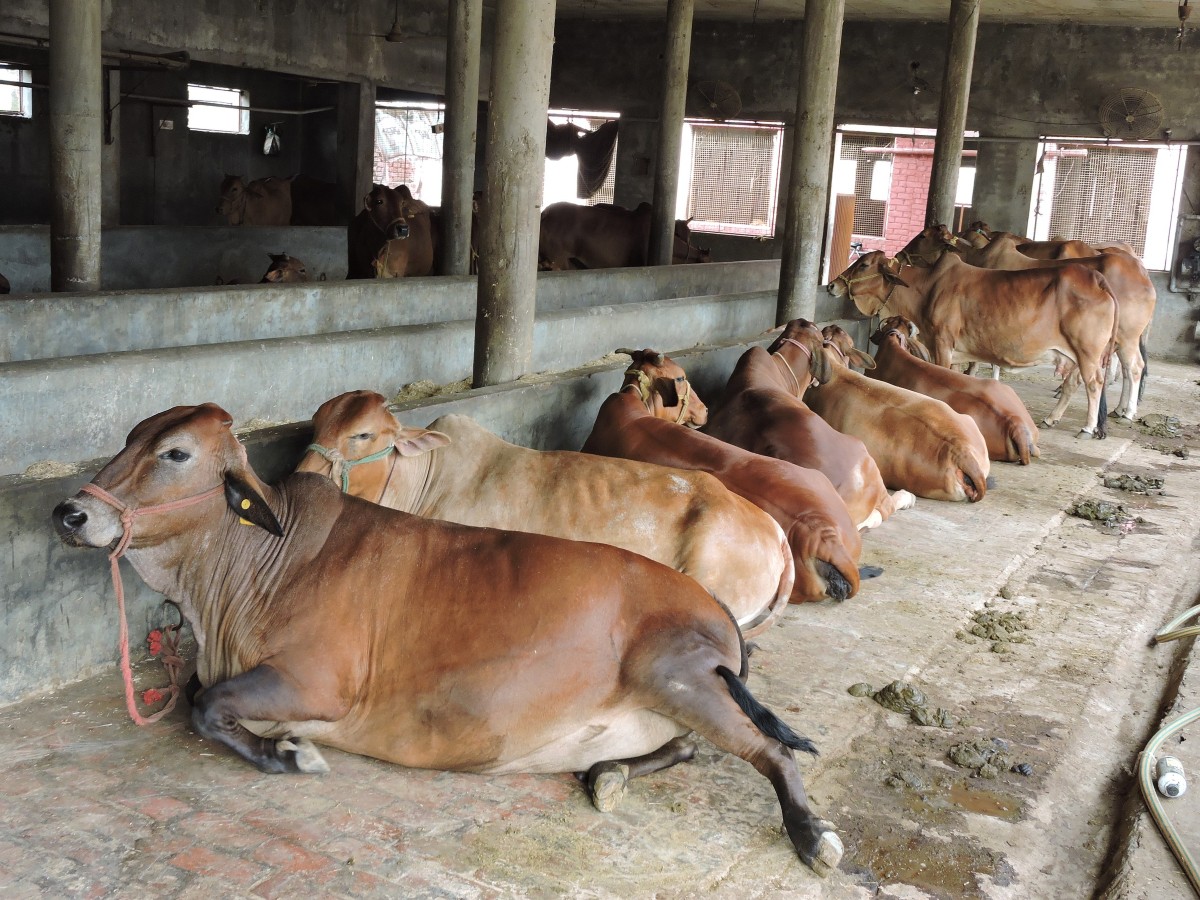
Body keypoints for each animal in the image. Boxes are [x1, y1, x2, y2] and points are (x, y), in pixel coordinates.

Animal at [827, 249, 1119, 438]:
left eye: (864, 265)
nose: (831, 286)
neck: (926, 288)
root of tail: (1097, 280)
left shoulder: (942, 342)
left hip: (1087, 351)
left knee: (1094, 384)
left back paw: (1087, 428)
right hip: (1075, 355)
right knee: (1074, 383)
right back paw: (1052, 418)